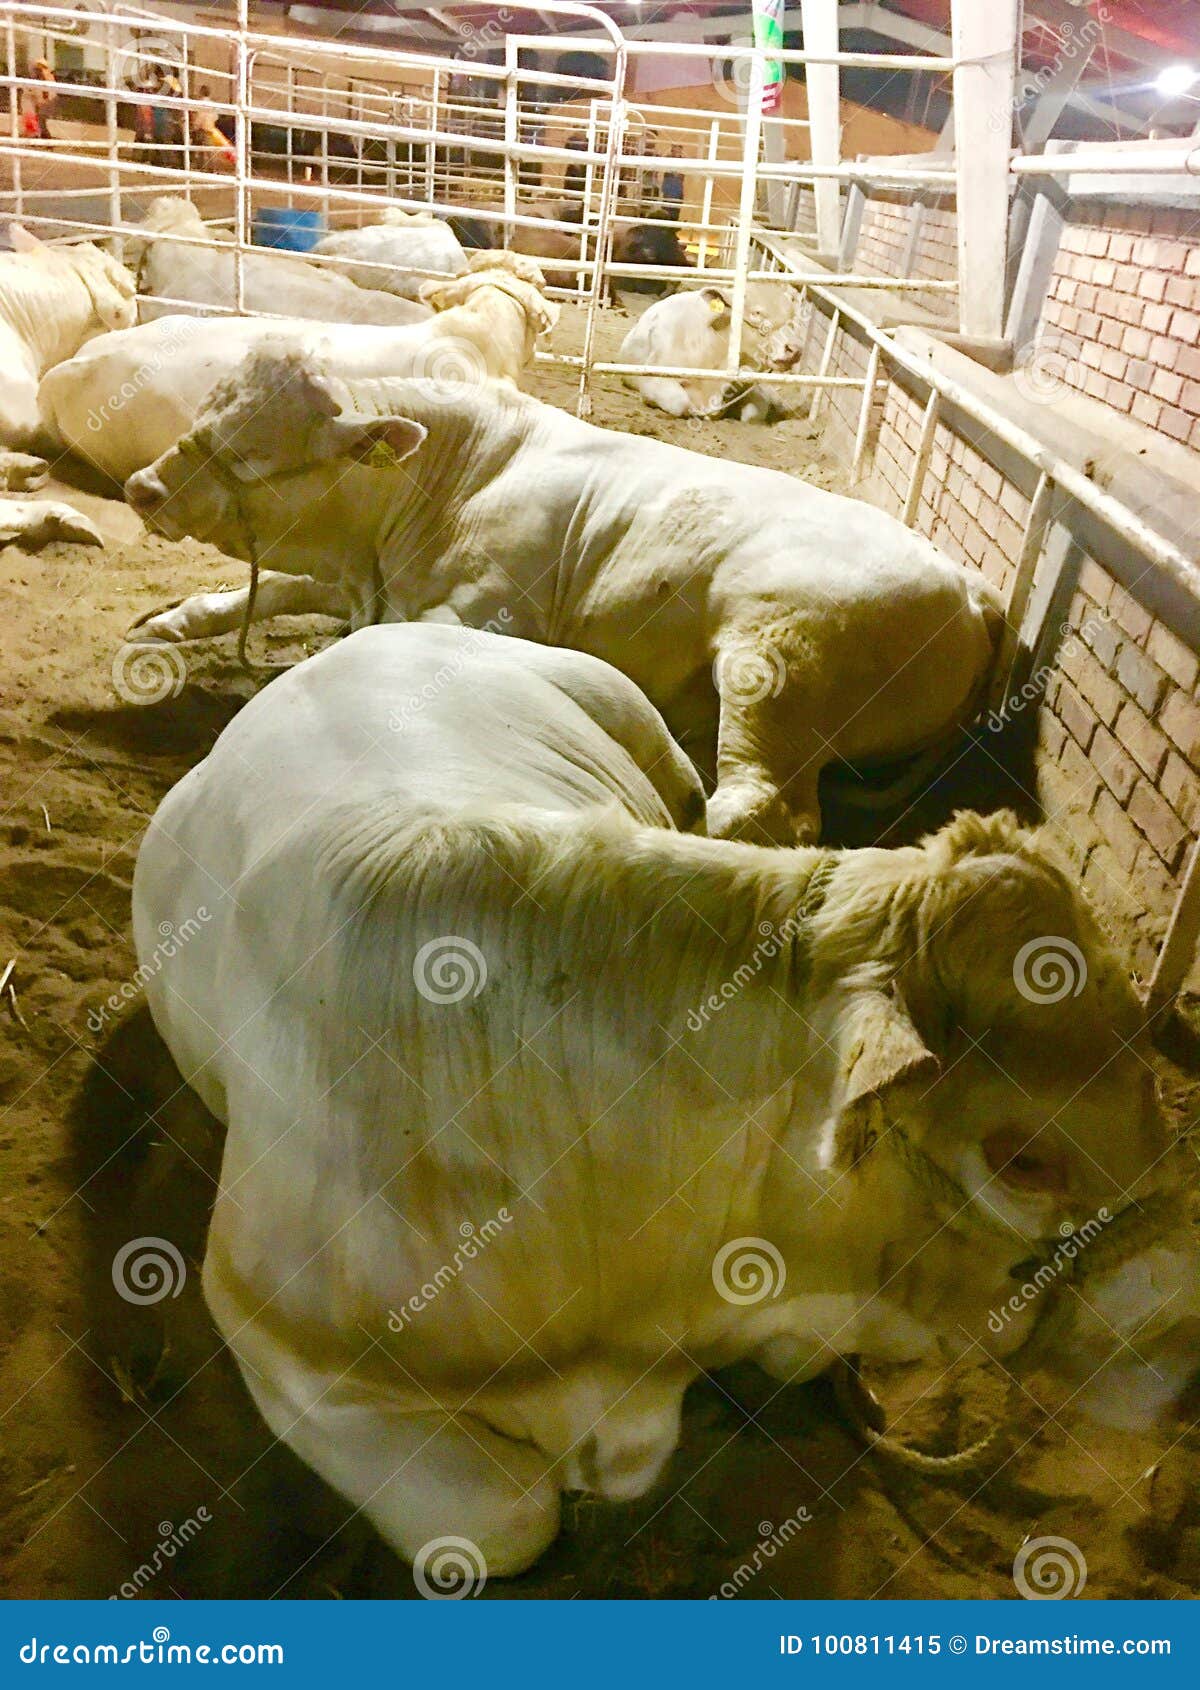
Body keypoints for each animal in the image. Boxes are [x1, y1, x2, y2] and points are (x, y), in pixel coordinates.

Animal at [125, 348, 1001, 844]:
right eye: (206, 414)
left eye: (249, 456)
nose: (141, 487)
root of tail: (969, 585)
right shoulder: (363, 579)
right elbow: (265, 591)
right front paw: (163, 624)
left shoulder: (478, 613)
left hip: (776, 670)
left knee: (757, 809)